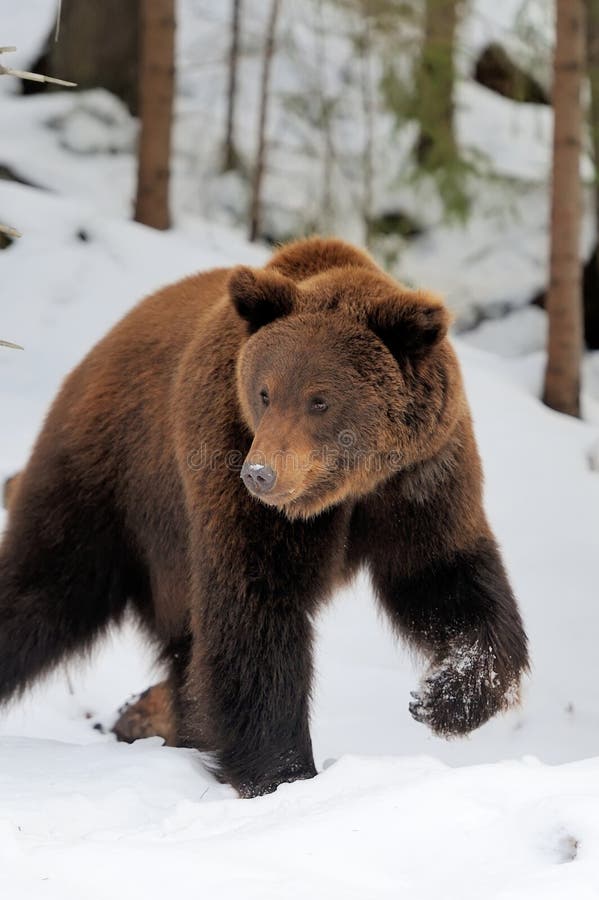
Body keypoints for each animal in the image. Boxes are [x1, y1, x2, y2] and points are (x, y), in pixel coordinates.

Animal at [0, 237, 529, 798]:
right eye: (265, 391)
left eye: (321, 399)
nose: (260, 474)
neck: (342, 490)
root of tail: (101, 346)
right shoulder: (227, 456)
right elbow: (256, 608)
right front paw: (284, 772)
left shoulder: (418, 480)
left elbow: (442, 579)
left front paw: (444, 696)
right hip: (112, 482)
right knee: (42, 587)